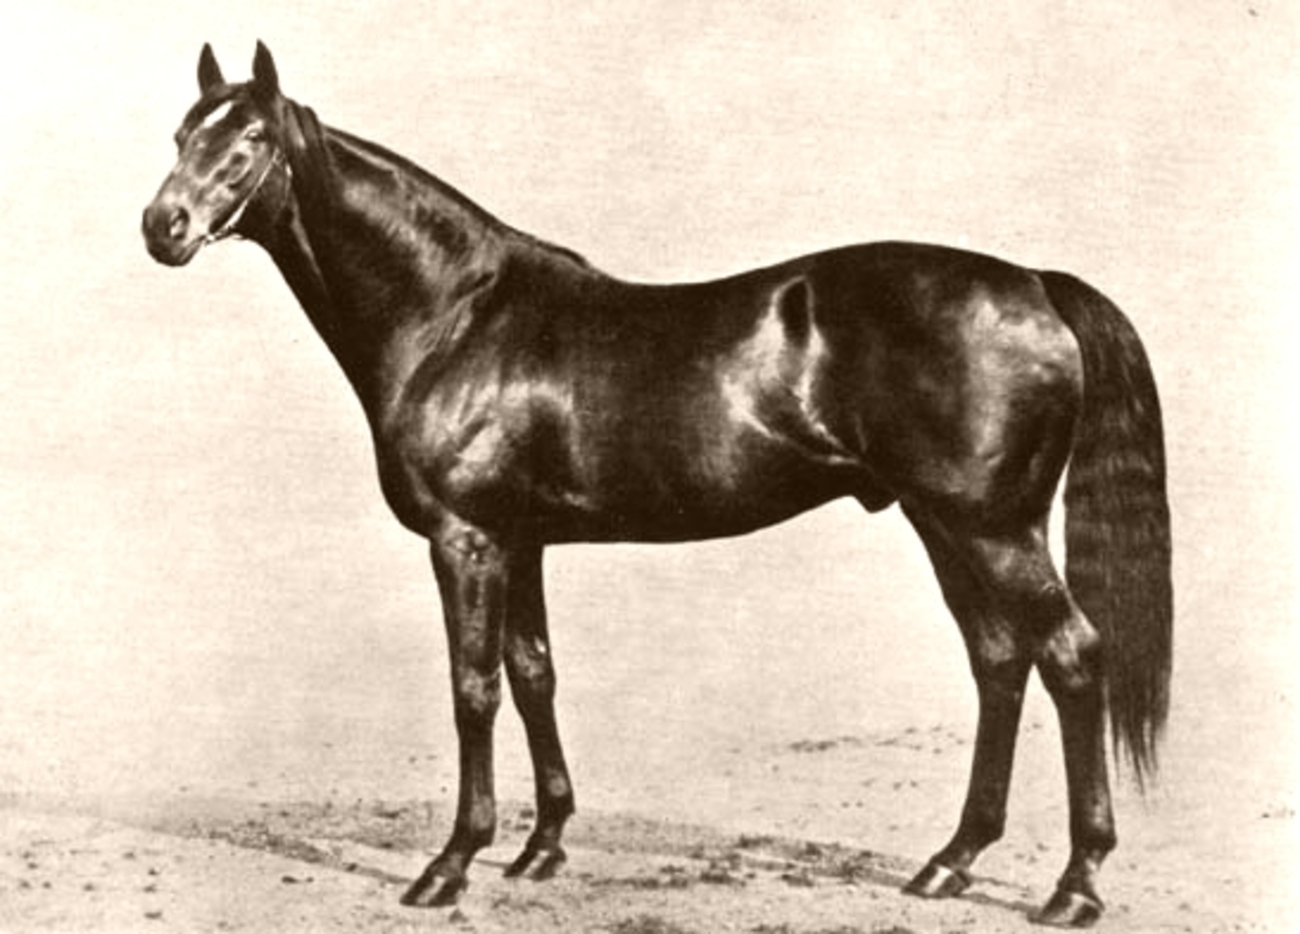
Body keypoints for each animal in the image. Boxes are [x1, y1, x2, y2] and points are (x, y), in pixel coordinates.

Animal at [141, 43, 1171, 928]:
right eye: (184, 133)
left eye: (252, 139)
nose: (164, 227)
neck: (457, 320)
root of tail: (1034, 283)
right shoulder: (520, 541)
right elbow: (534, 675)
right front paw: (541, 848)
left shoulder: (466, 540)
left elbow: (473, 687)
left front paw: (451, 864)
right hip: (943, 522)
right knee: (999, 662)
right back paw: (950, 863)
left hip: (994, 528)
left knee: (1072, 656)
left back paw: (1074, 885)